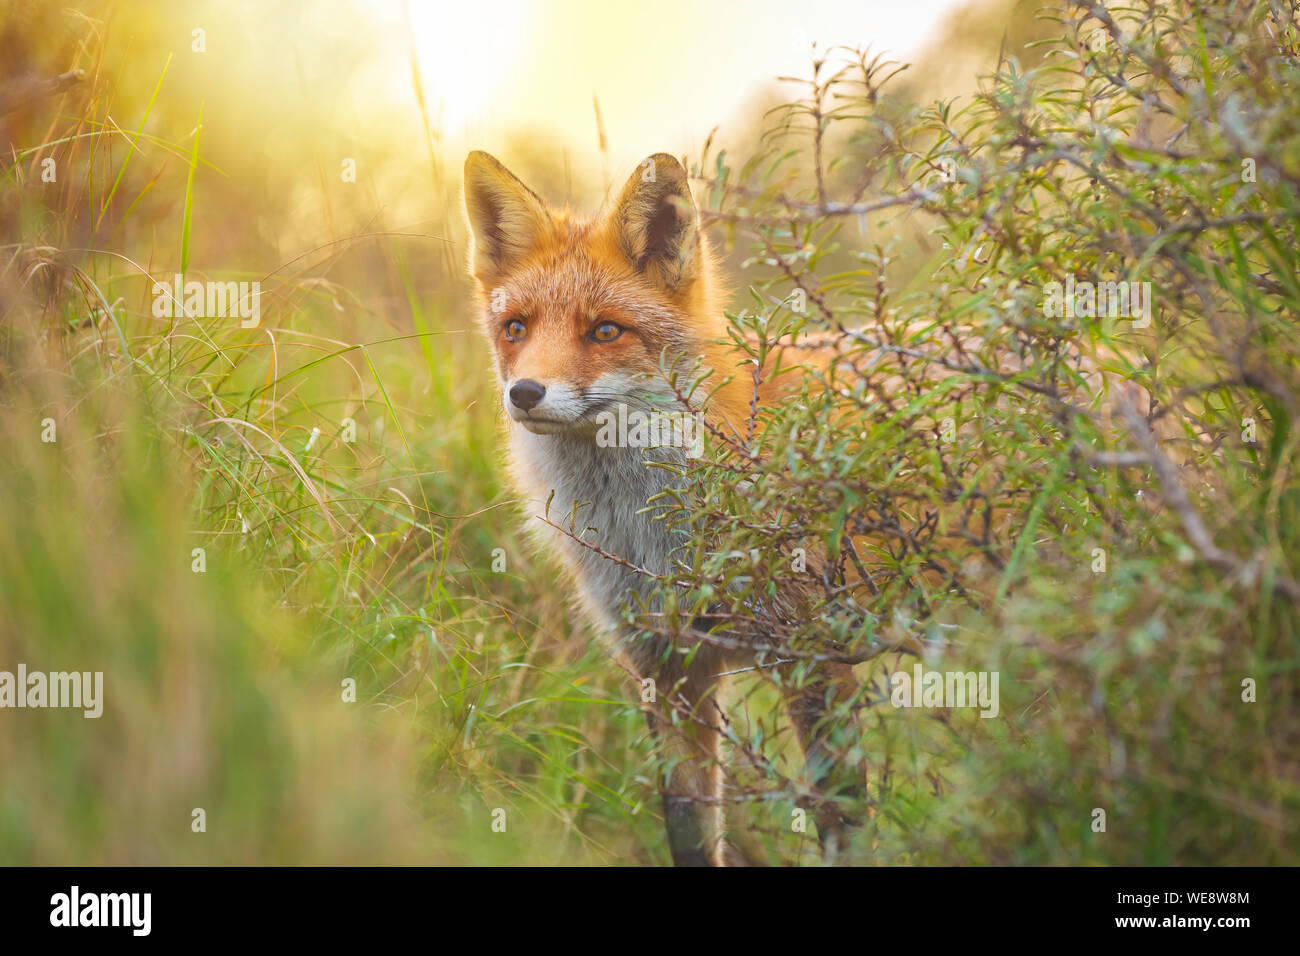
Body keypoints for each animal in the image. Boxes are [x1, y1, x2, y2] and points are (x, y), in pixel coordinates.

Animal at [462, 150, 866, 866]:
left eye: (604, 330)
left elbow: (843, 823)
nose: (525, 392)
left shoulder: (818, 655)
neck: (652, 531)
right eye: (517, 329)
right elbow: (689, 829)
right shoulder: (666, 663)